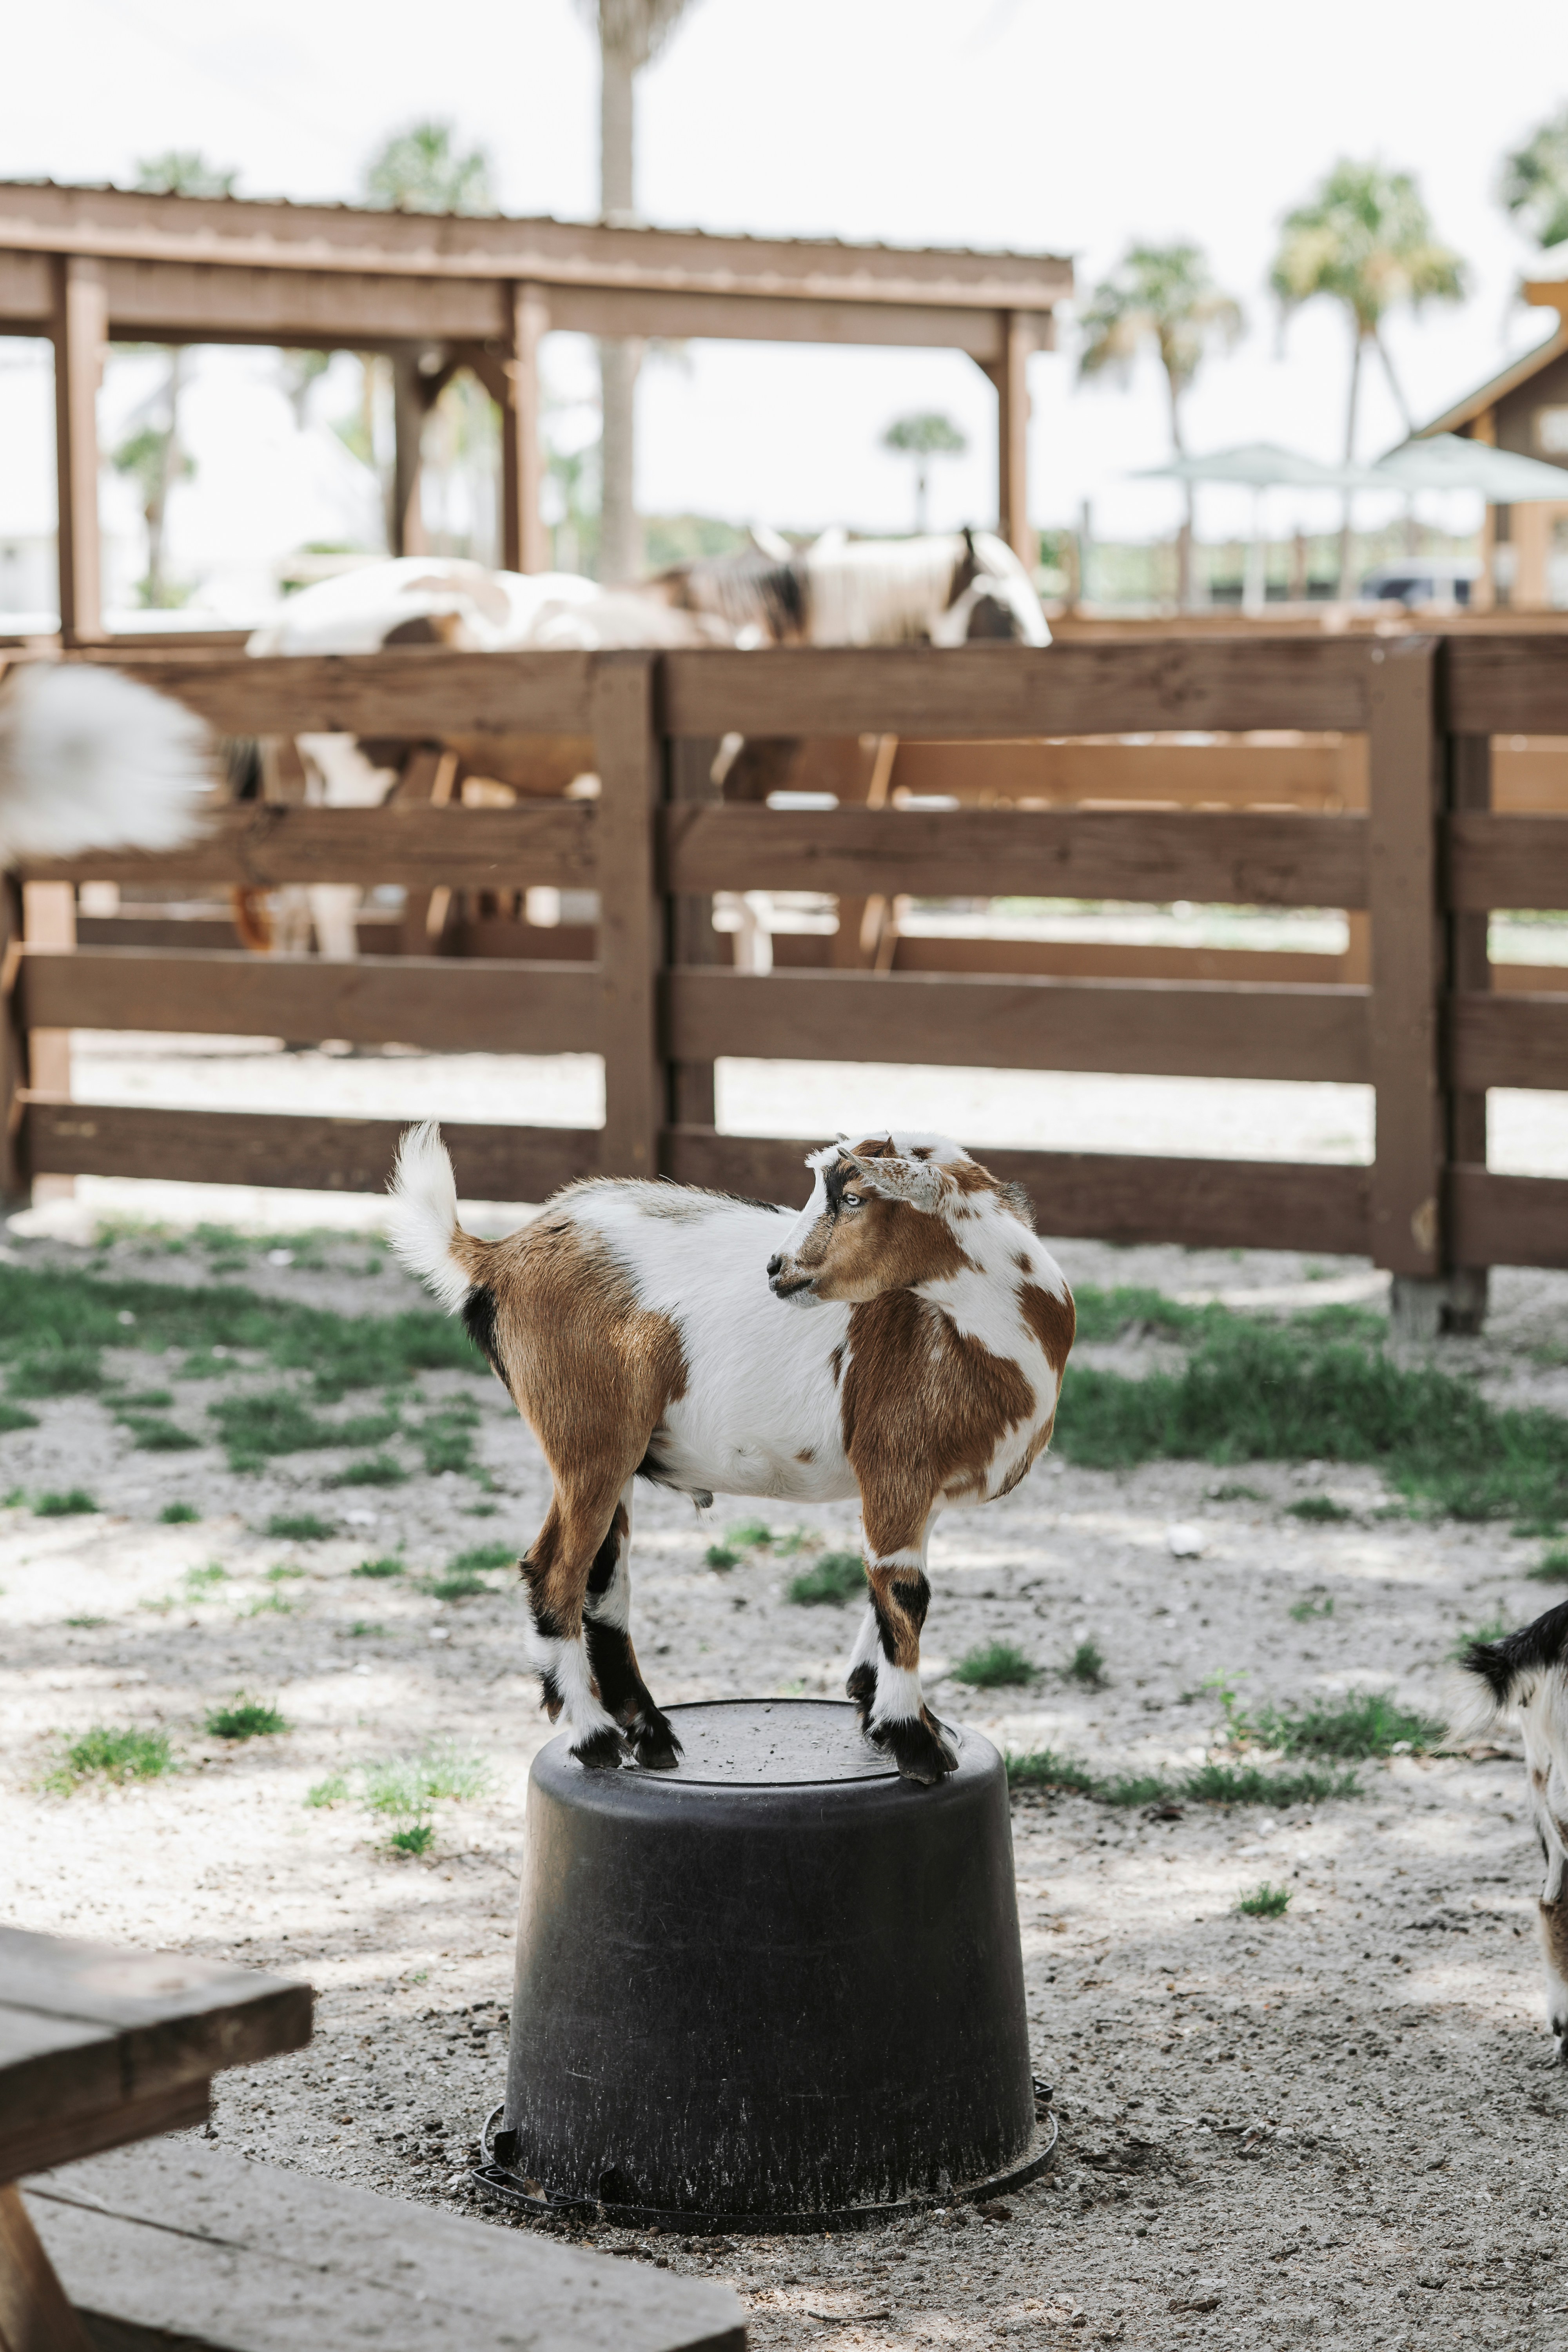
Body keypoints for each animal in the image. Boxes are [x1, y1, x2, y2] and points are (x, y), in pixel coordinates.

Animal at [388, 1124, 1074, 1786]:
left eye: (854, 1198)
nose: (776, 1267)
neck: (985, 1334)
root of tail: (499, 1256)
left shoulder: (919, 1495)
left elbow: (882, 1593)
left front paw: (879, 1711)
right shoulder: (896, 1467)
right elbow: (905, 1595)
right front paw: (917, 1744)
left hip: (613, 1456)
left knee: (604, 1579)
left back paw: (650, 1734)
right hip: (587, 1437)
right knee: (555, 1571)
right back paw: (594, 1738)